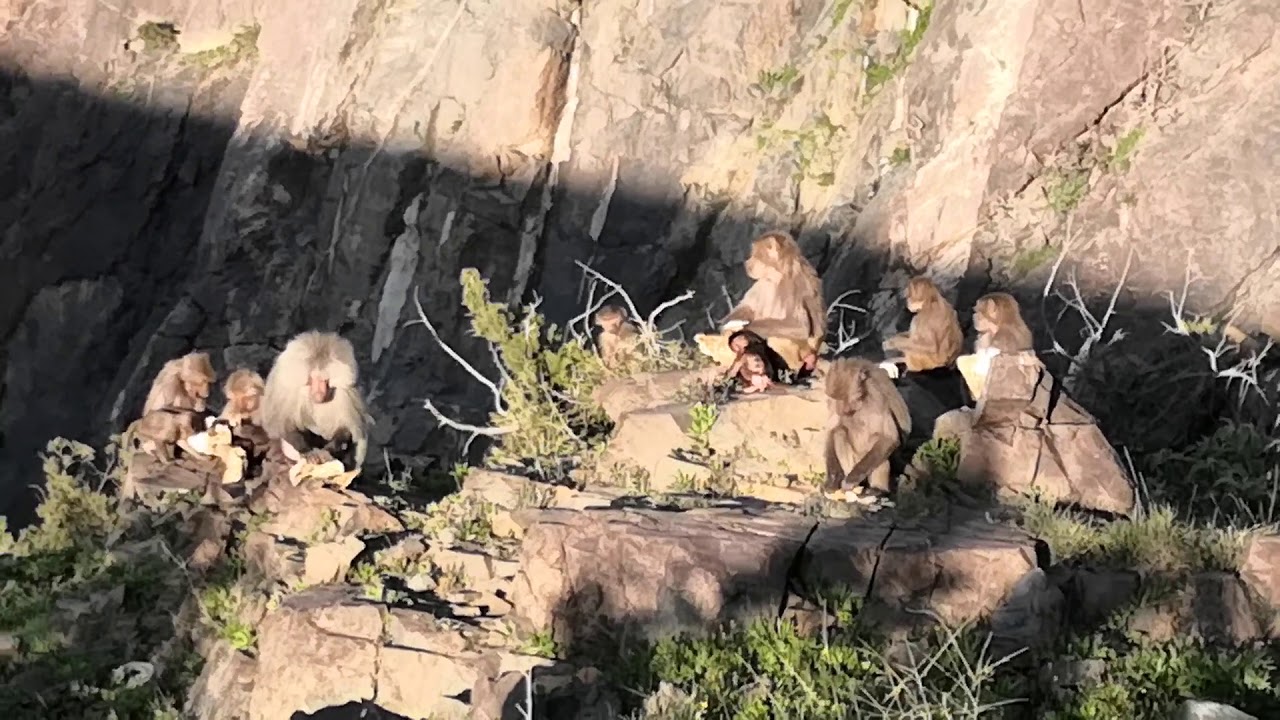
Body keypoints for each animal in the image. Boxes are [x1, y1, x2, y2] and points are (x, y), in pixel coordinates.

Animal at [261, 331, 369, 470]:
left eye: (325, 380)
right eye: (314, 378)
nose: (320, 392)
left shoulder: (345, 393)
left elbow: (347, 429)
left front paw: (327, 452)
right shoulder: (285, 388)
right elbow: (283, 424)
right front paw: (308, 453)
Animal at [696, 231, 826, 372]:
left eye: (755, 255)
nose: (747, 264)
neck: (778, 274)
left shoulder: (792, 286)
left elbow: (799, 326)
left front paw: (738, 330)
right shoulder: (764, 281)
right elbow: (748, 307)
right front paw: (725, 328)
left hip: (800, 354)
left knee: (776, 338)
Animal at [822, 358, 912, 496]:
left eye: (844, 399)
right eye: (836, 398)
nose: (840, 409)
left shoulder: (877, 398)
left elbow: (890, 437)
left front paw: (850, 480)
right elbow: (831, 430)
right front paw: (833, 478)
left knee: (877, 439)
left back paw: (877, 488)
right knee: (840, 432)